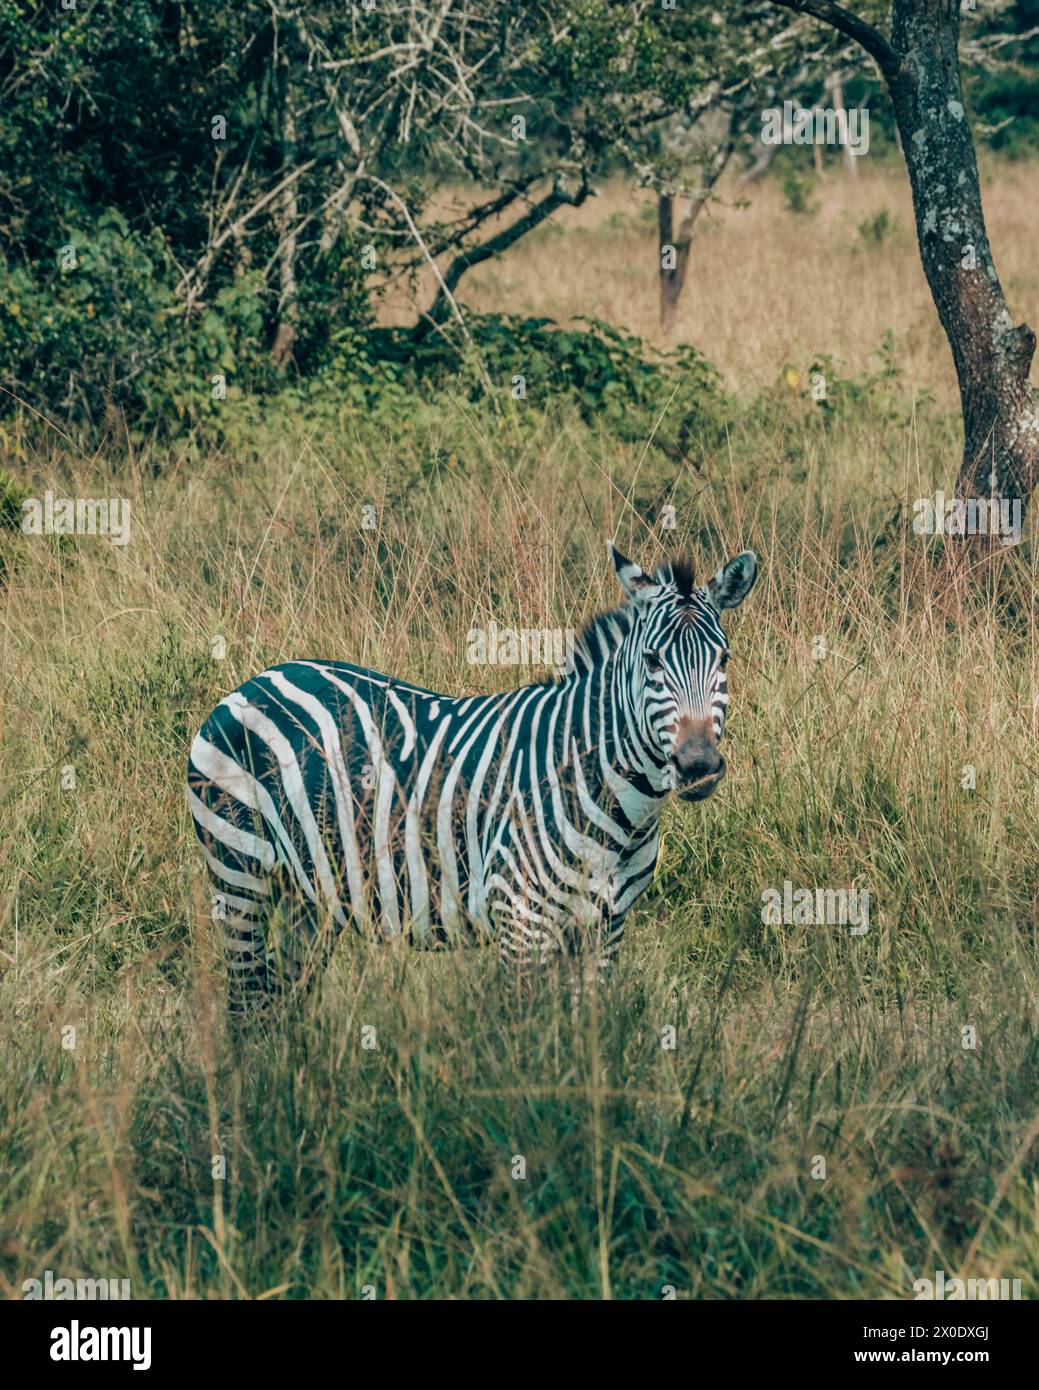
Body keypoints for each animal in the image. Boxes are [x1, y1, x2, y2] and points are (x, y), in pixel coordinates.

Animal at [187, 542, 757, 1008]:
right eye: (652, 661)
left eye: (724, 659)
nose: (698, 766)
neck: (620, 809)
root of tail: (253, 682)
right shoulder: (521, 923)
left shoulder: (605, 929)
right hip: (239, 873)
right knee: (245, 1000)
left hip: (310, 894)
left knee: (283, 1000)